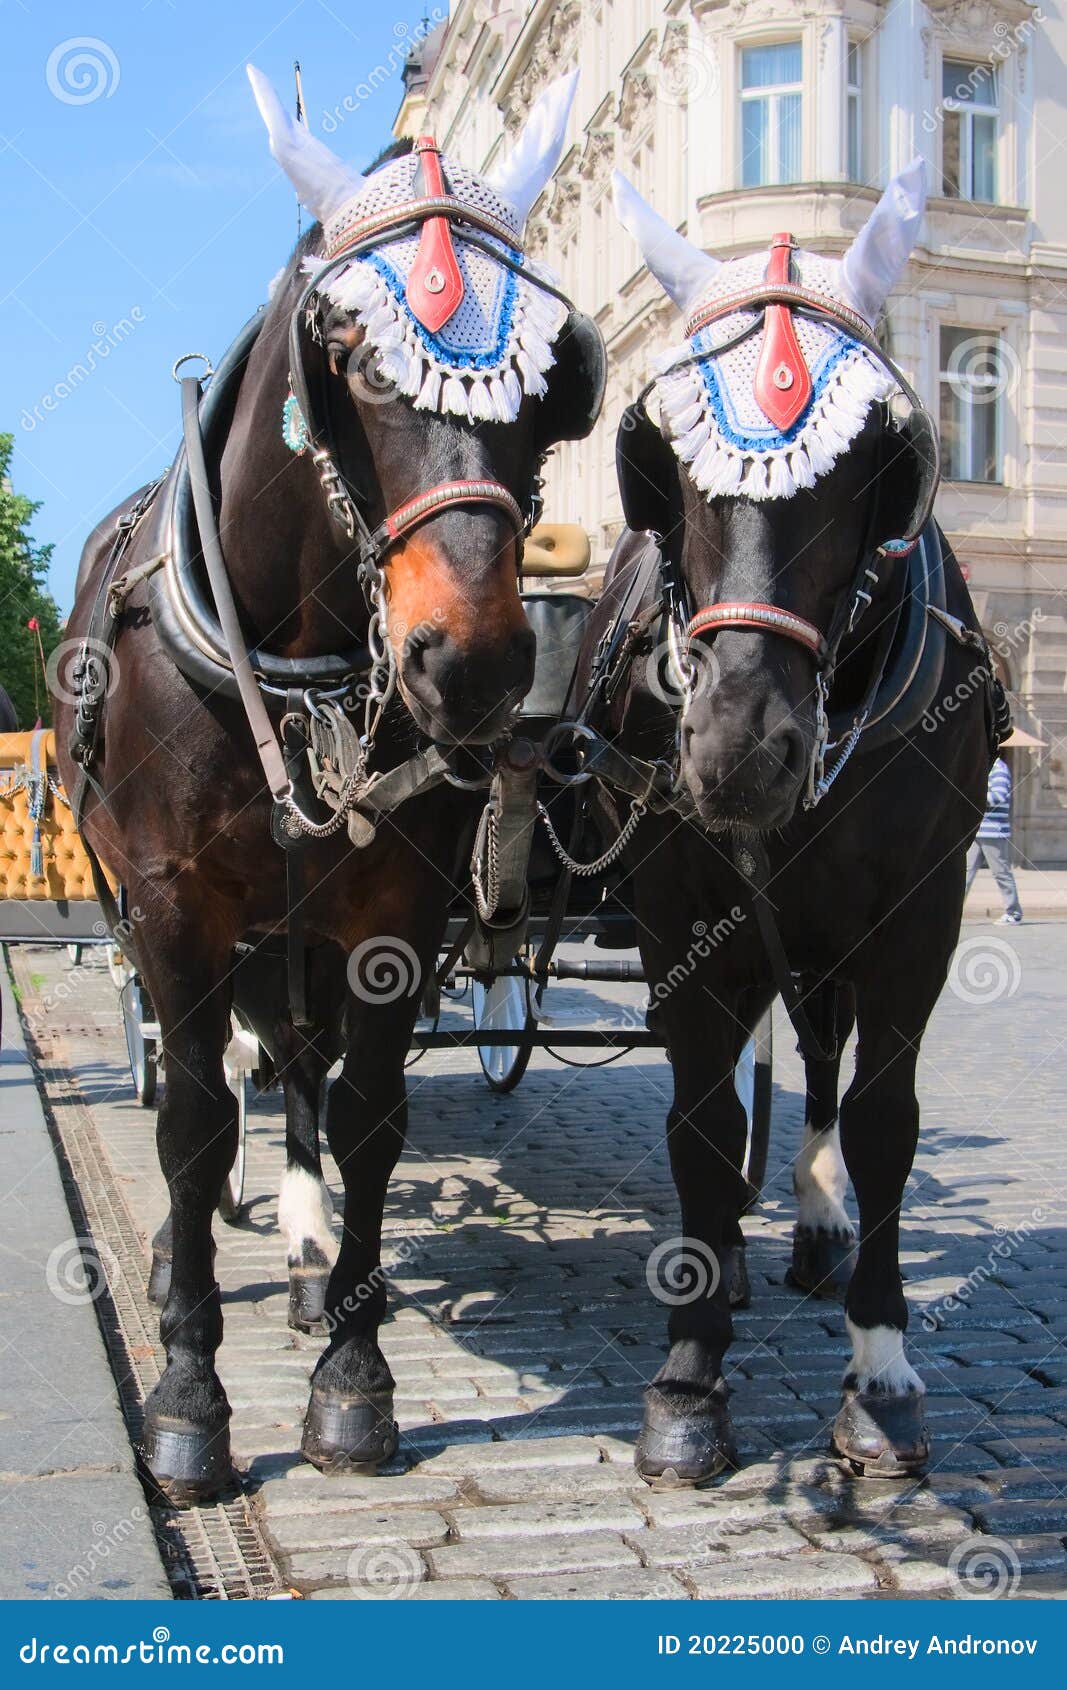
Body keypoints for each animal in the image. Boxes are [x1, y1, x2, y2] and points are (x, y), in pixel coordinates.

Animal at [56, 68, 605, 1502]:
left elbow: (366, 1116)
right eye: (348, 351)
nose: (470, 663)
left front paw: (353, 1377)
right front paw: (189, 1394)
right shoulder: (172, 906)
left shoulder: (390, 916)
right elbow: (196, 1122)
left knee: (298, 1059)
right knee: (224, 1078)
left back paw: (311, 1263)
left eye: (556, 380)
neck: (294, 657)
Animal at [577, 162, 994, 1485]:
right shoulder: (682, 924)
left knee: (817, 1056)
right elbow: (702, 1129)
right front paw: (690, 1365)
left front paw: (882, 1371)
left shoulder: (917, 919)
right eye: (658, 461)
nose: (740, 750)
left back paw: (809, 1226)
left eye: (880, 461)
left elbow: (880, 1122)